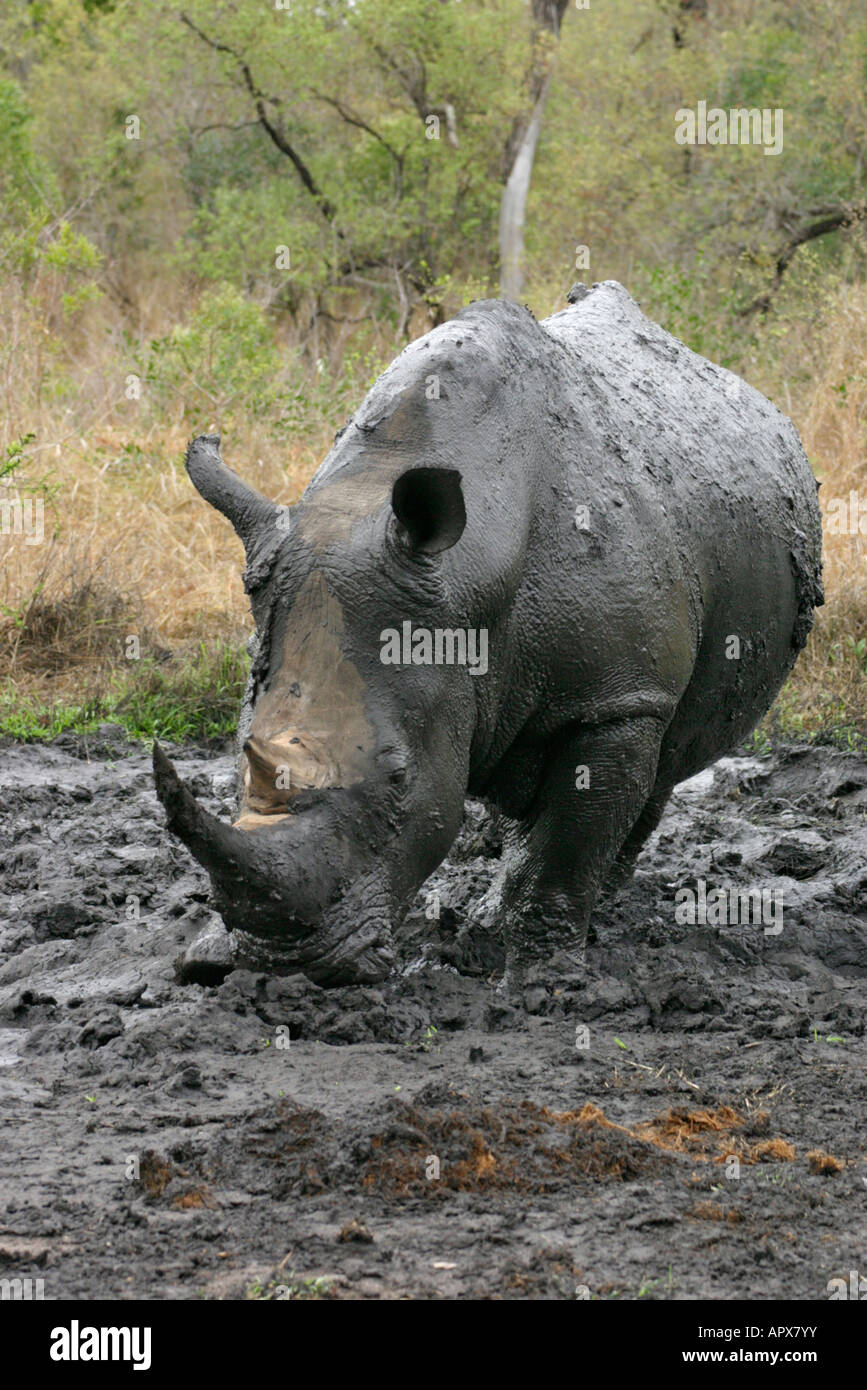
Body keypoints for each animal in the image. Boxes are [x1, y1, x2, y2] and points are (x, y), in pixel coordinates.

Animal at [153, 280, 823, 988]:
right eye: (238, 757)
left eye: (399, 779)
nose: (288, 964)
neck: (467, 579)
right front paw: (207, 957)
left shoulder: (618, 697)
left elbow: (570, 842)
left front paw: (544, 981)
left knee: (662, 758)